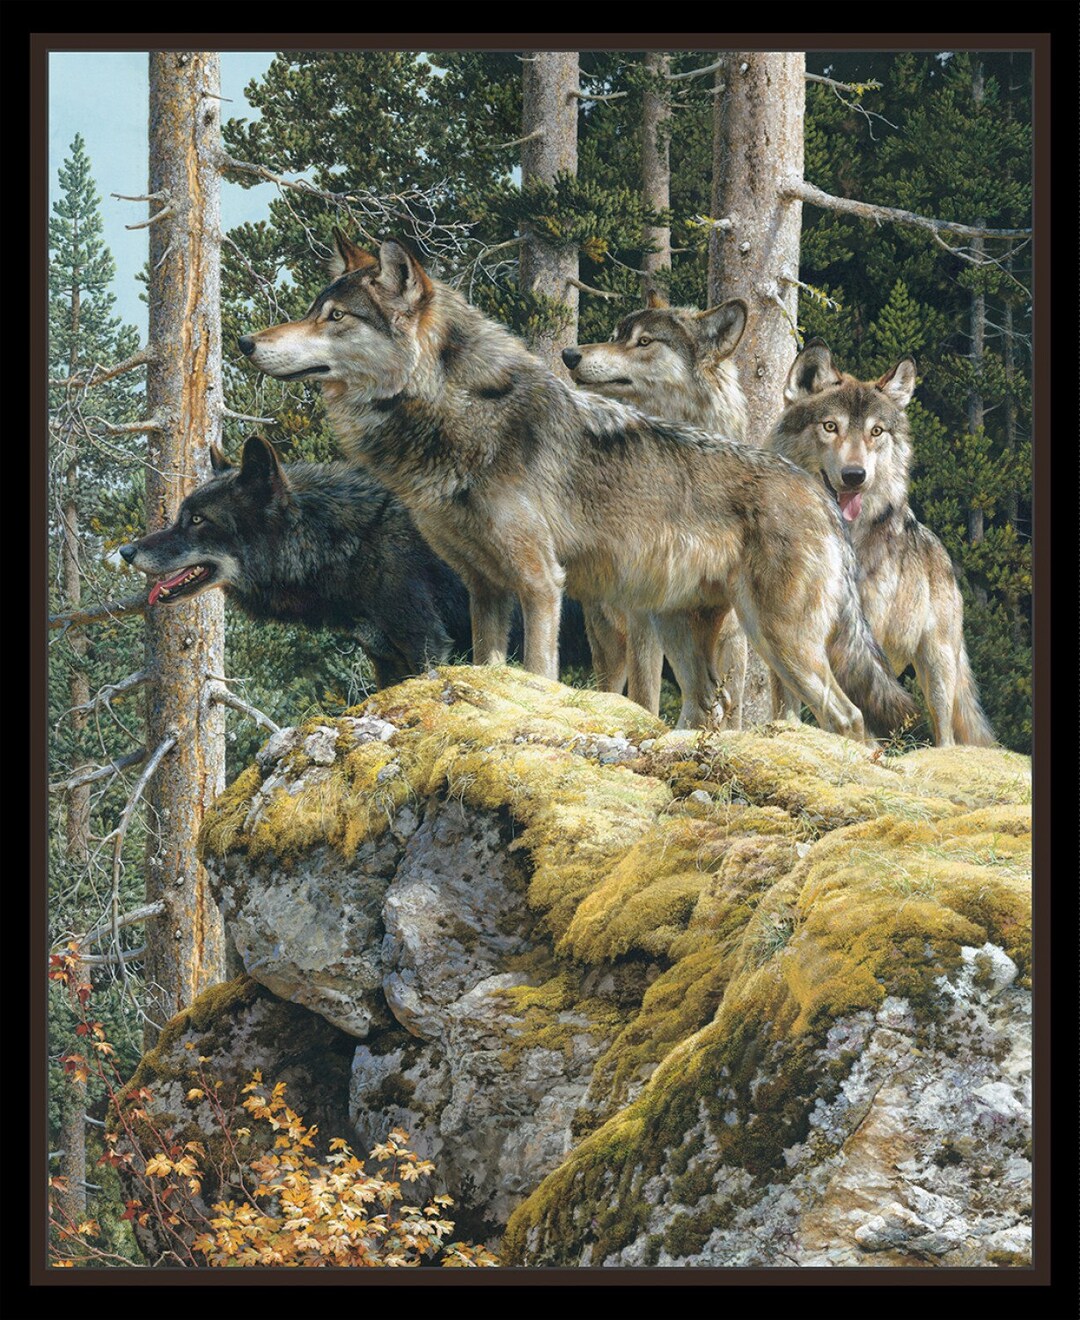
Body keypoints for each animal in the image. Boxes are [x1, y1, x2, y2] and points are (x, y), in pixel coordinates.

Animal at [562, 293, 750, 726]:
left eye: (644, 342)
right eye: (616, 335)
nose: (569, 354)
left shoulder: (734, 633)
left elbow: (729, 710)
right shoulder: (644, 621)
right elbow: (646, 698)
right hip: (609, 636)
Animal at [769, 340, 995, 747]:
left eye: (876, 431)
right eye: (830, 426)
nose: (855, 476)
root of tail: (939, 548)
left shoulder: (860, 639)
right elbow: (786, 705)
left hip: (937, 669)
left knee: (945, 733)